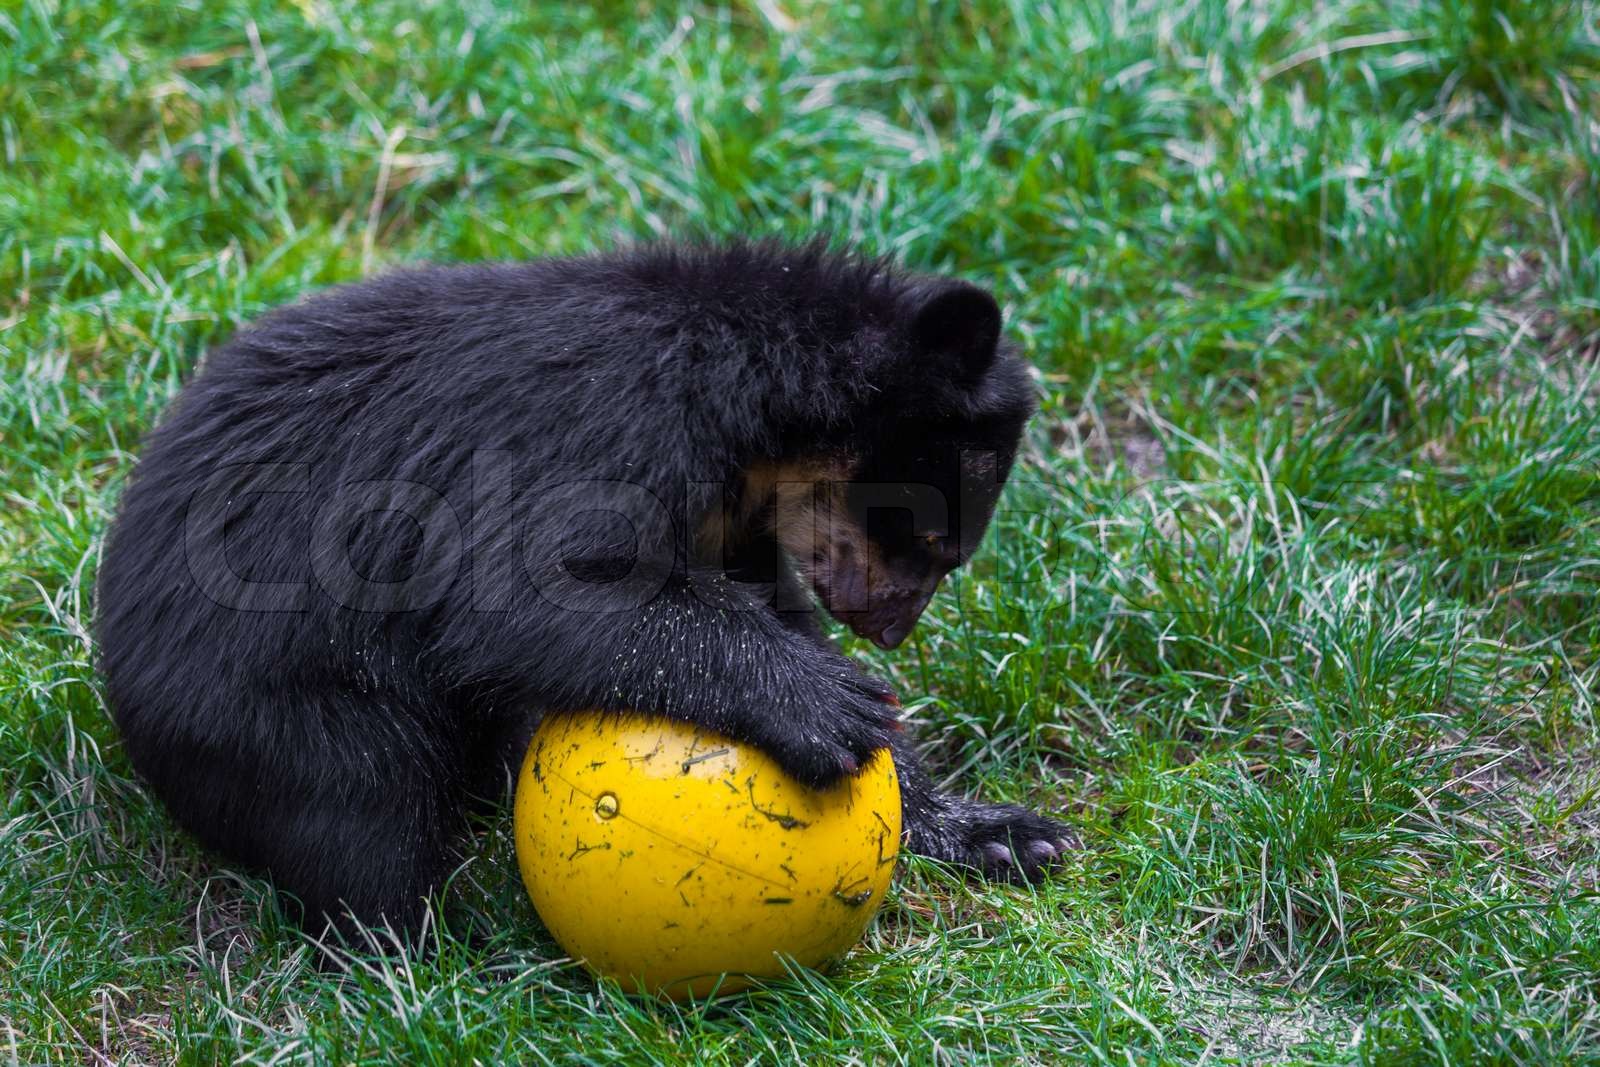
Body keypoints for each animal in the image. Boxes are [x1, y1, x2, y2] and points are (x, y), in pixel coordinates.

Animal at [96, 239, 1073, 937]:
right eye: (932, 541)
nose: (892, 629)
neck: (752, 424)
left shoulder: (733, 521)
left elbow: (768, 604)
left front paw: (1000, 832)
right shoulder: (602, 433)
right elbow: (524, 595)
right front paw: (832, 706)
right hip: (273, 699)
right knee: (361, 805)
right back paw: (441, 956)